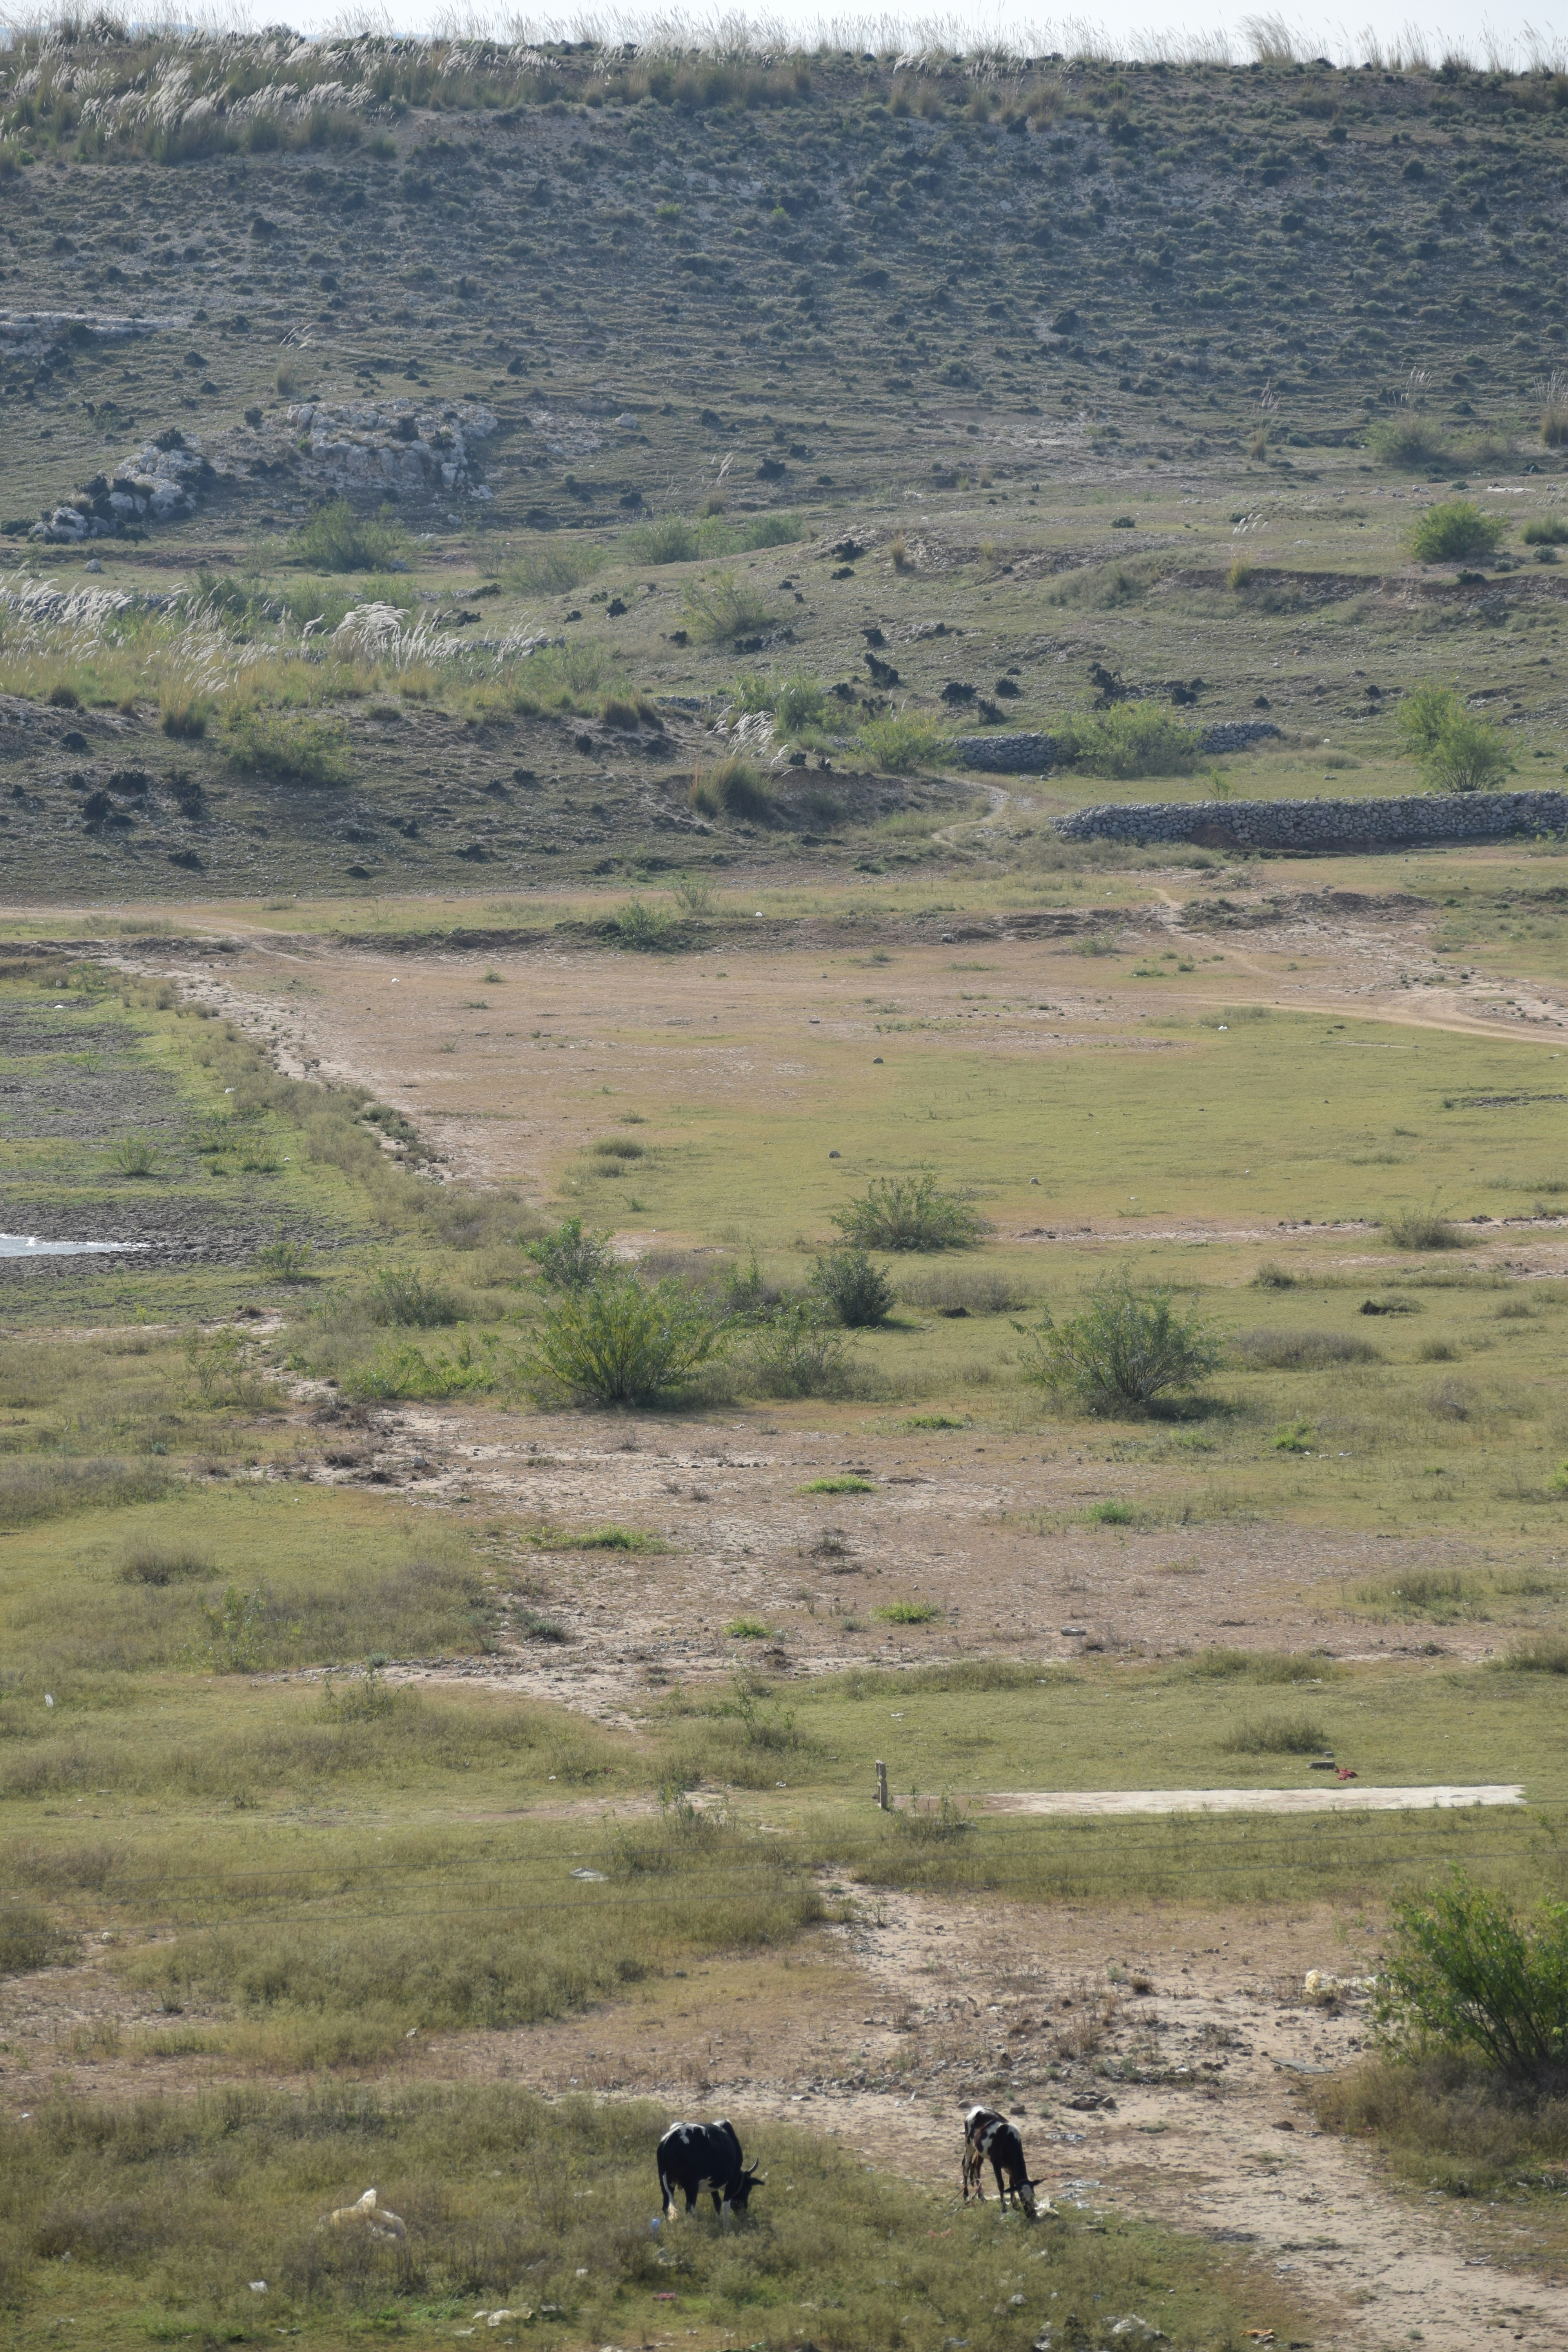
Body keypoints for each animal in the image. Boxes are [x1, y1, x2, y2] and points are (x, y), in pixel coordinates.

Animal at [656, 2119, 766, 2222]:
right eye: (748, 2189)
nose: (744, 2212)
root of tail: (671, 2137)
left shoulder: (713, 2184)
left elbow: (717, 2202)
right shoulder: (732, 2180)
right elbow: (726, 2205)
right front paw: (727, 2227)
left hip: (665, 2183)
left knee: (666, 2208)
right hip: (691, 2187)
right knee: (689, 2210)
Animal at [961, 2107, 1042, 2219]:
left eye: (1033, 2195)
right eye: (1022, 2196)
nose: (1032, 2214)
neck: (1008, 2141)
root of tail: (977, 2108)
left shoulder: (1010, 2167)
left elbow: (1012, 2184)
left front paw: (1015, 2204)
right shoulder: (996, 2164)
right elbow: (1001, 2184)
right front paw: (1004, 2207)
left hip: (981, 2151)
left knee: (977, 2168)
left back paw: (982, 2197)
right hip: (969, 2145)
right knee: (966, 2167)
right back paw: (966, 2196)